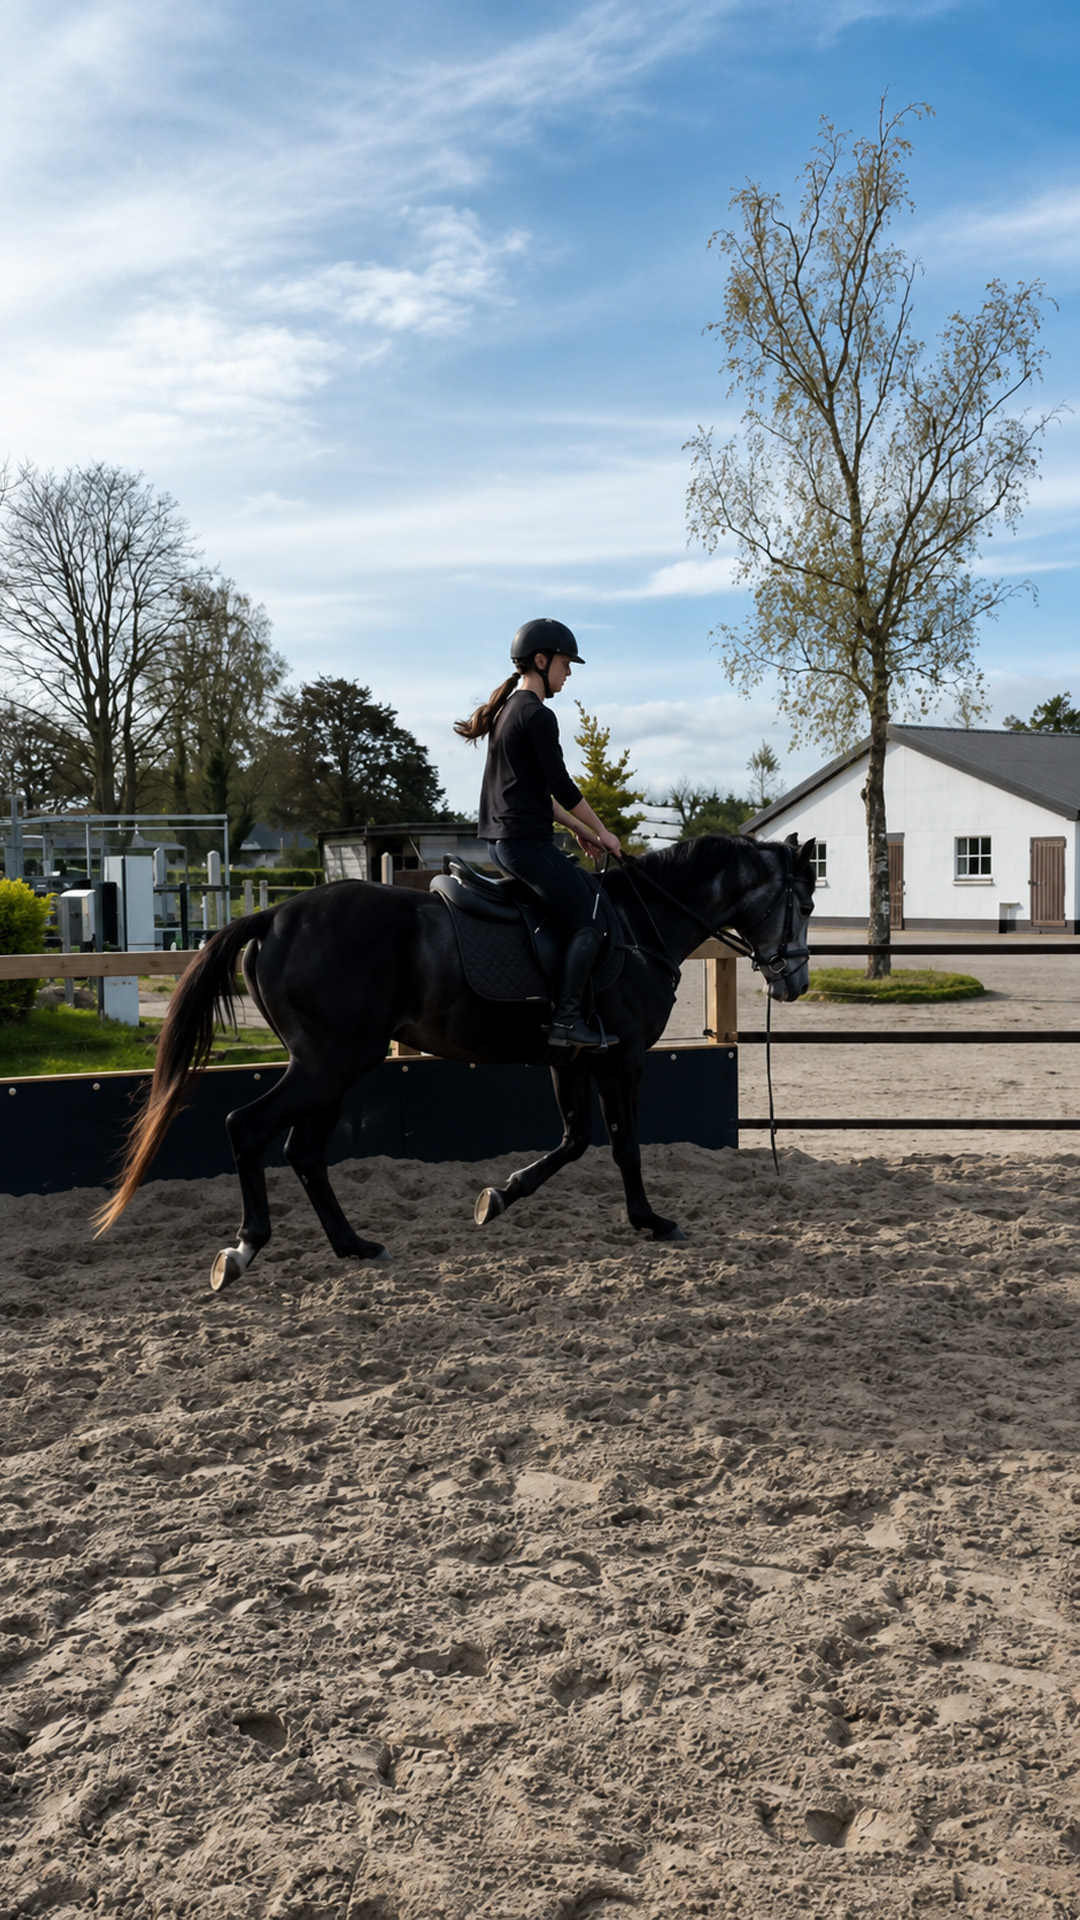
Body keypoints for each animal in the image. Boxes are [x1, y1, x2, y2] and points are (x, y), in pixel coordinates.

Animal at [94, 832, 815, 1286]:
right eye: (803, 903)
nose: (795, 983)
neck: (640, 926)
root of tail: (274, 917)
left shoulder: (570, 1059)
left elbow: (574, 1141)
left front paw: (499, 1196)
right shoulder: (624, 1060)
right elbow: (624, 1145)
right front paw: (650, 1221)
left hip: (336, 1067)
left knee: (305, 1152)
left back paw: (352, 1245)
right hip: (329, 1063)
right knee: (247, 1128)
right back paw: (246, 1248)